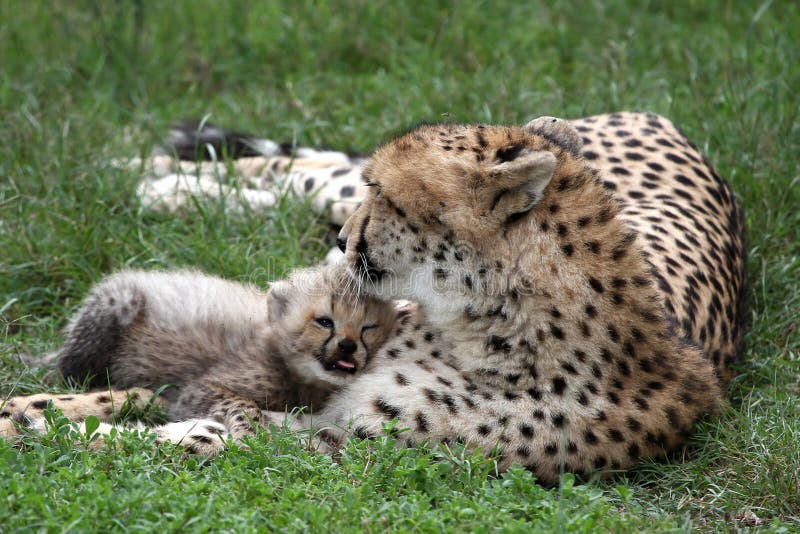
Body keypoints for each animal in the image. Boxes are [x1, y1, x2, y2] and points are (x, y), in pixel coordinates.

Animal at [1, 264, 397, 450]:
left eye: (368, 328)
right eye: (324, 321)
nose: (347, 346)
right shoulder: (198, 389)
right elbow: (240, 403)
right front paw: (250, 428)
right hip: (120, 301)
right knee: (69, 369)